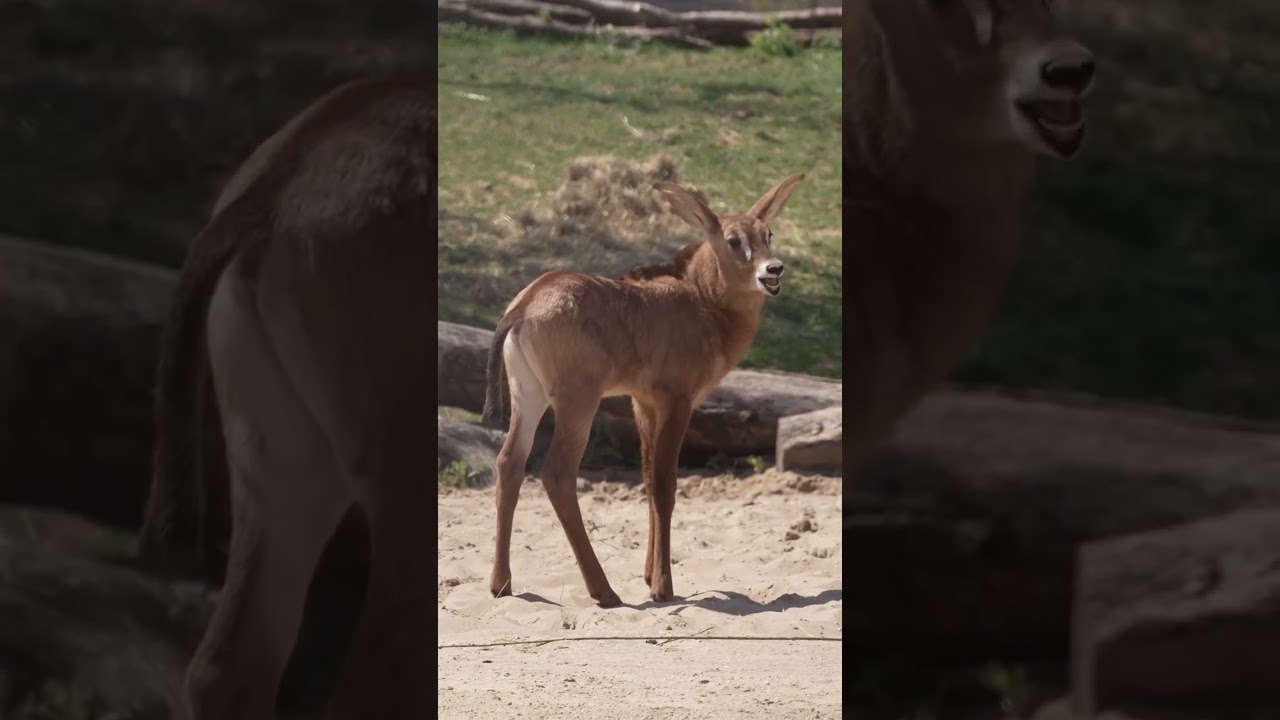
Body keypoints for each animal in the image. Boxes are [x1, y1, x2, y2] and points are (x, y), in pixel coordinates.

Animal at [481, 174, 805, 606]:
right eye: (734, 240)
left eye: (767, 233)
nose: (774, 270)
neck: (702, 299)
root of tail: (523, 307)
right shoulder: (677, 401)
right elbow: (665, 485)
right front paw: (663, 586)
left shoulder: (643, 404)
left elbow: (649, 480)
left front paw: (649, 573)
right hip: (577, 402)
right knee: (557, 474)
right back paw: (604, 591)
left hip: (528, 396)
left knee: (509, 464)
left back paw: (501, 583)